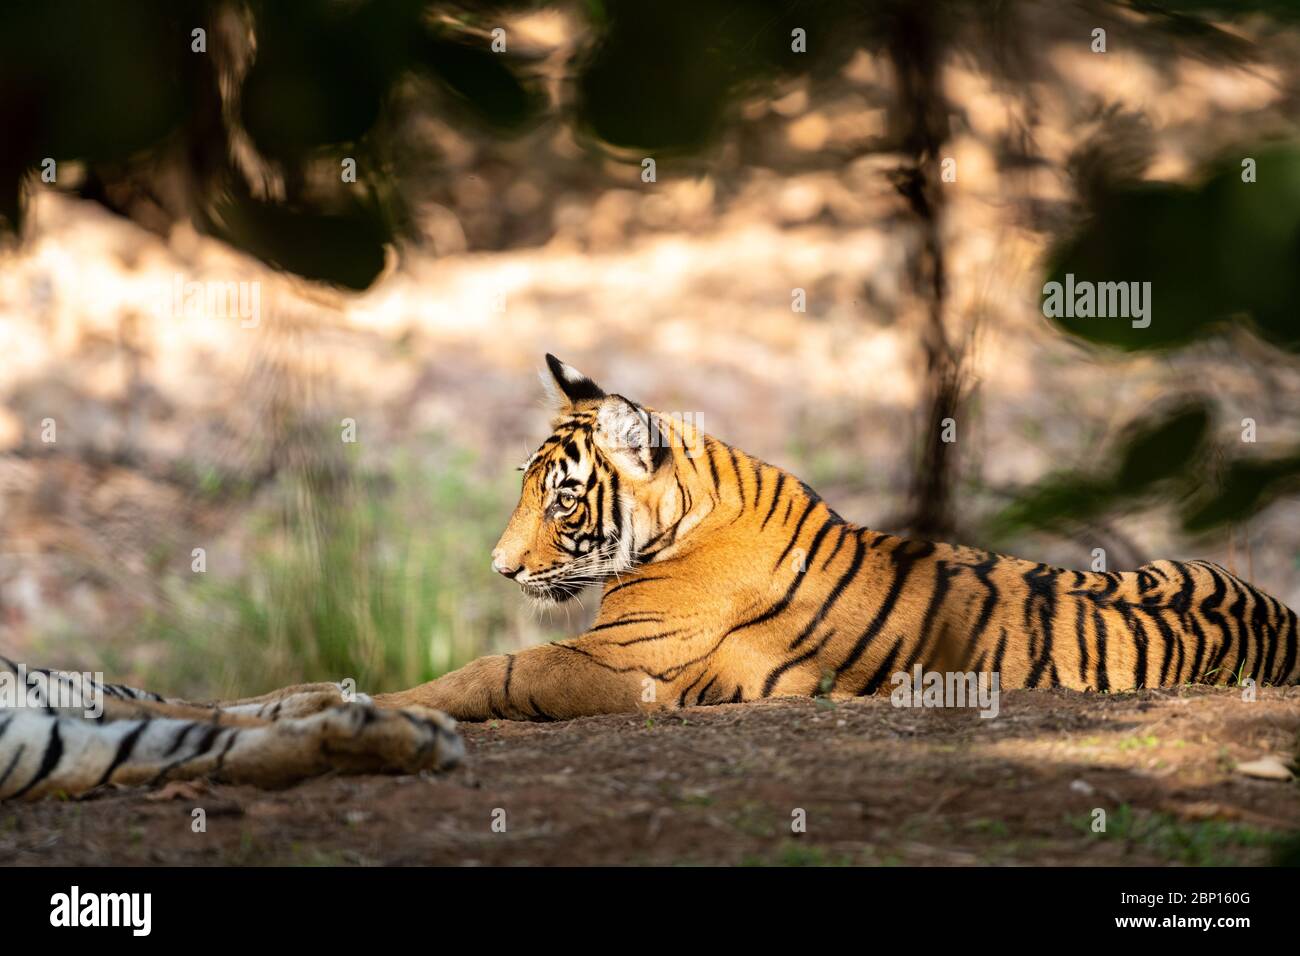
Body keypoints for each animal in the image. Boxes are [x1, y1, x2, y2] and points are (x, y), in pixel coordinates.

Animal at [0, 655, 462, 801]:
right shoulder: (51, 755)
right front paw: (412, 736)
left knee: (198, 704)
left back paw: (332, 693)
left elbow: (212, 720)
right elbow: (225, 748)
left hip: (78, 688)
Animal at [374, 354, 1300, 720]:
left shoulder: (621, 663)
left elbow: (488, 673)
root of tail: (1284, 623)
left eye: (563, 502)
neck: (686, 516)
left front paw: (371, 703)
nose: (498, 569)